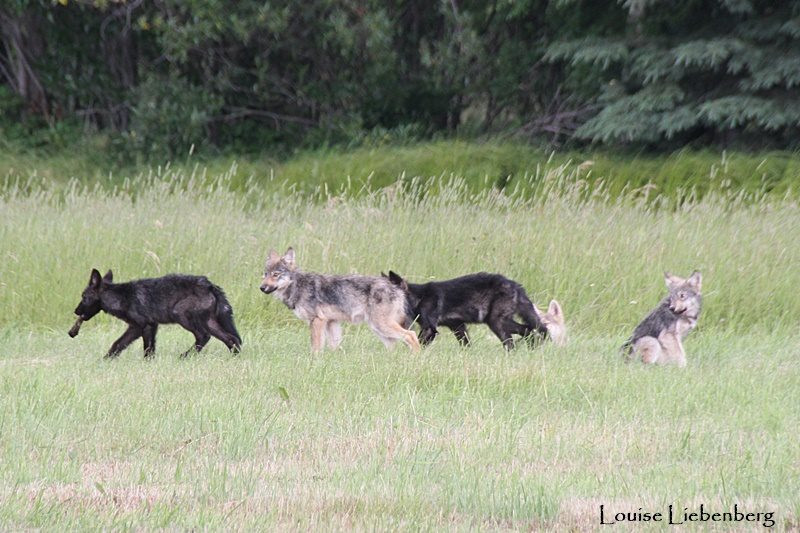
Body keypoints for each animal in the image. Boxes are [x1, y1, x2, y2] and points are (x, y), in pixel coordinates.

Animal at [70, 269, 242, 358]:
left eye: (83, 297)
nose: (75, 311)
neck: (122, 296)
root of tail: (210, 285)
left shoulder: (141, 326)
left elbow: (139, 348)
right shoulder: (148, 326)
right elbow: (122, 345)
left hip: (182, 315)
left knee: (204, 336)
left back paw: (185, 356)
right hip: (210, 322)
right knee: (232, 339)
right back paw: (234, 357)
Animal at [260, 248, 420, 352]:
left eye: (276, 274)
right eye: (265, 274)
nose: (261, 287)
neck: (298, 285)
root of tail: (397, 288)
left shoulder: (317, 321)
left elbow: (315, 347)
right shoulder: (332, 322)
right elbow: (334, 347)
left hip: (382, 326)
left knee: (411, 335)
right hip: (379, 330)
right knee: (394, 345)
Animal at [384, 271, 567, 349]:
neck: (419, 298)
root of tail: (516, 285)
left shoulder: (430, 329)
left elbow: (419, 344)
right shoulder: (457, 326)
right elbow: (466, 345)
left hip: (496, 322)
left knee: (518, 338)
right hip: (501, 322)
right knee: (529, 330)